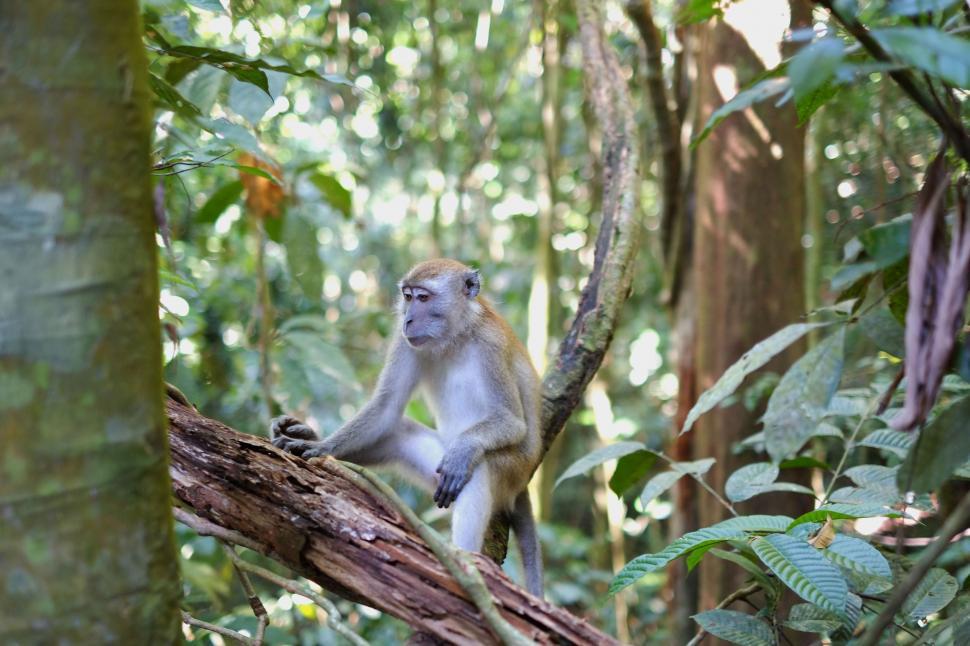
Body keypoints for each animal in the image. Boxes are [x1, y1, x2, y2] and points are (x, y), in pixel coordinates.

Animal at [271, 259, 544, 597]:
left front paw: (464, 449)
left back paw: (466, 560)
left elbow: (511, 421)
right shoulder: (406, 344)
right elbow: (386, 408)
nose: (408, 319)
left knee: (478, 468)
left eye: (424, 297)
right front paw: (320, 445)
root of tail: (524, 482)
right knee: (397, 433)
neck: (458, 335)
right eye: (408, 296)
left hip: (511, 472)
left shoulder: (491, 346)